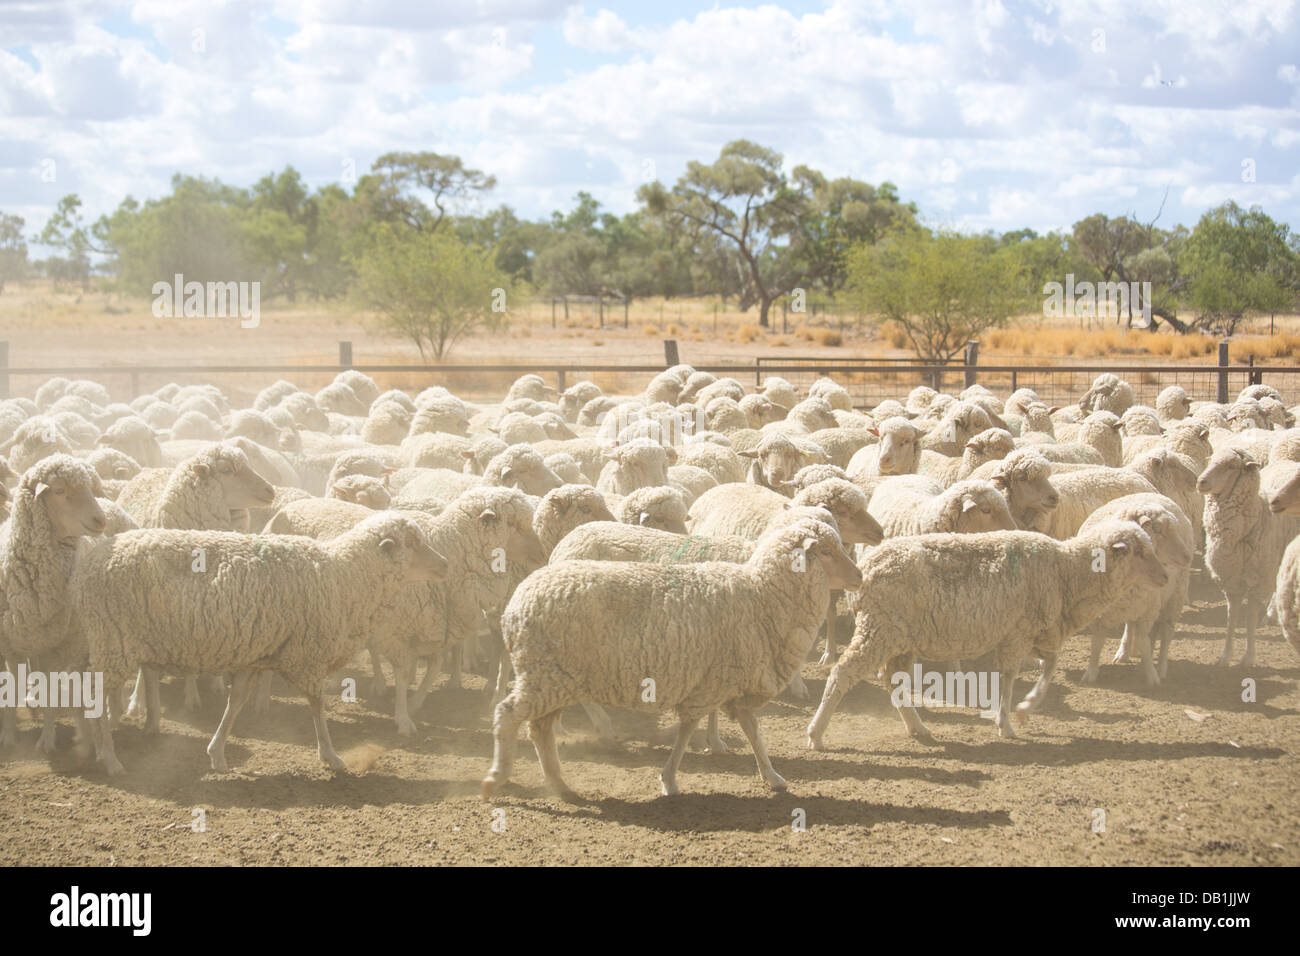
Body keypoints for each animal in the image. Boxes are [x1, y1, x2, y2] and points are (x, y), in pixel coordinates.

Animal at [0, 456, 108, 752]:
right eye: (59, 491)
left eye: (90, 489)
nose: (101, 519)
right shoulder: (10, 644)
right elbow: (12, 685)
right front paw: (8, 735)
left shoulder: (55, 645)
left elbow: (49, 688)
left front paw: (46, 739)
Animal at [74, 512, 447, 775]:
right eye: (412, 543)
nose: (444, 563)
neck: (343, 577)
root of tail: (90, 562)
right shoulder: (309, 656)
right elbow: (317, 707)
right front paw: (331, 756)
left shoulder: (255, 656)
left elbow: (236, 703)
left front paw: (217, 753)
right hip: (114, 639)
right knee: (93, 694)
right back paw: (108, 756)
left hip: (117, 641)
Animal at [483, 513, 862, 798]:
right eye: (827, 551)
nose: (858, 575)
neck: (761, 595)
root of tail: (516, 604)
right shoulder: (717, 680)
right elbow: (696, 729)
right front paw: (670, 779)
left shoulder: (722, 680)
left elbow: (747, 730)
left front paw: (771, 776)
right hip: (547, 675)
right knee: (508, 714)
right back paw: (497, 777)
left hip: (554, 678)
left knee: (540, 730)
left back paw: (559, 783)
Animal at [807, 519, 1168, 748]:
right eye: (1139, 552)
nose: (1165, 576)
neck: (1067, 571)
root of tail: (864, 569)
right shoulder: (1018, 634)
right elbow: (1008, 678)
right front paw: (1007, 723)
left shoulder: (1037, 633)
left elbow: (1050, 668)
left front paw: (1027, 707)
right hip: (881, 629)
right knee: (843, 672)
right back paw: (816, 734)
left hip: (899, 637)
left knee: (893, 681)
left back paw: (917, 728)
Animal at [1198, 447, 1300, 668]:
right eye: (1211, 460)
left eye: (1231, 466)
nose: (1201, 481)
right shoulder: (1231, 581)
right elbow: (1232, 617)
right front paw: (1225, 656)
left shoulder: (1256, 580)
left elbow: (1249, 618)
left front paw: (1248, 657)